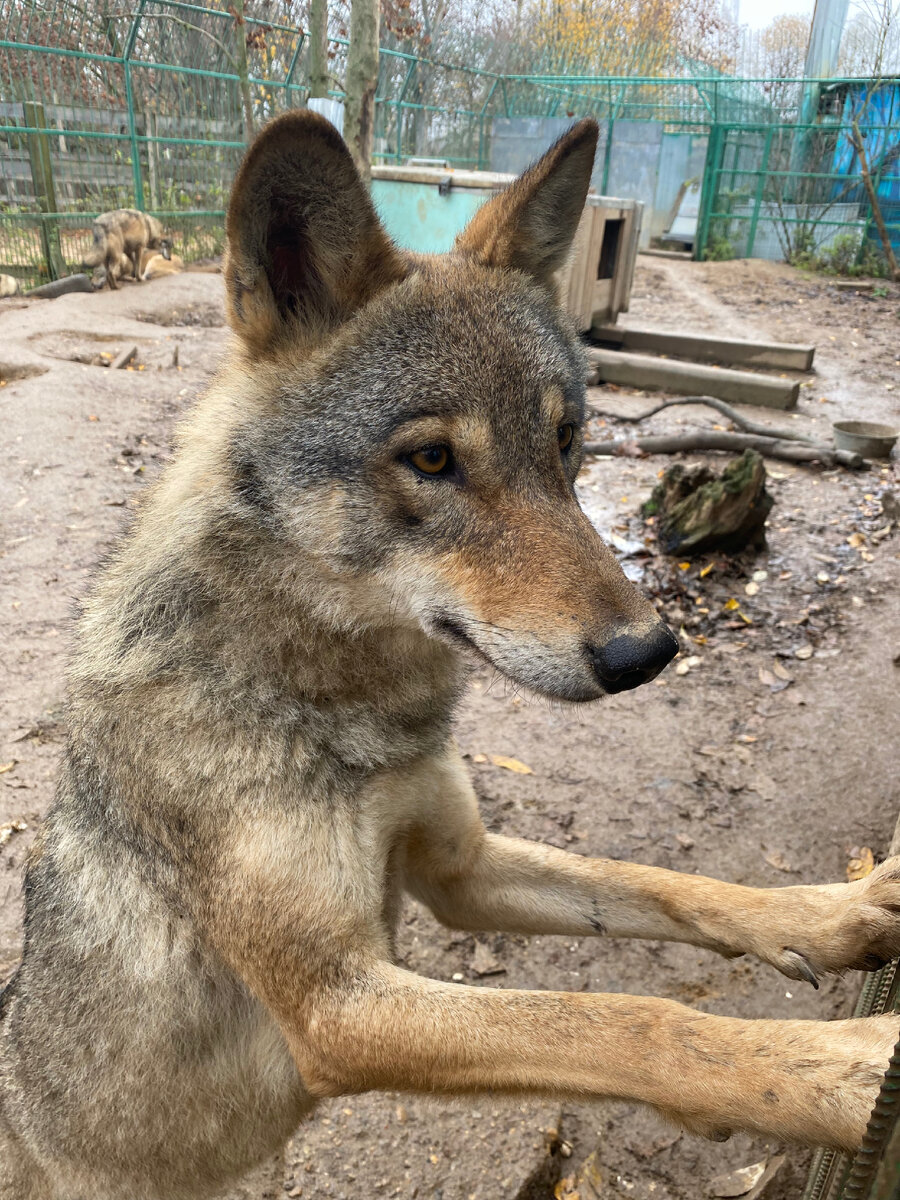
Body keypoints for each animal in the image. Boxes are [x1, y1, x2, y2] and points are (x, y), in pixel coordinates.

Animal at [1, 108, 900, 1195]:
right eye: (433, 459)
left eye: (567, 441)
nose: (648, 651)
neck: (342, 710)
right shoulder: (340, 1007)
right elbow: (631, 1022)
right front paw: (845, 1070)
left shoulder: (459, 872)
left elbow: (666, 889)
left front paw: (836, 916)